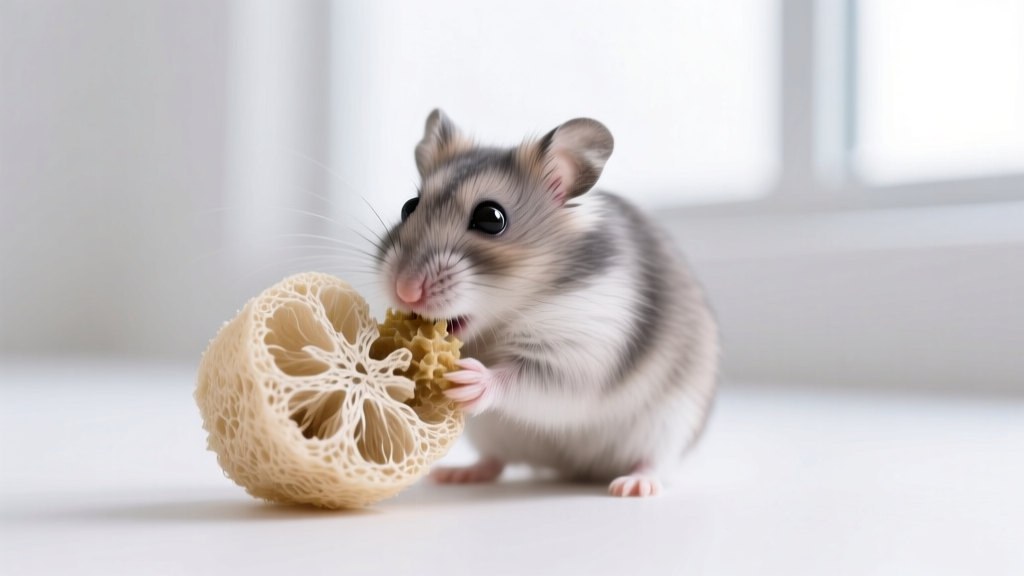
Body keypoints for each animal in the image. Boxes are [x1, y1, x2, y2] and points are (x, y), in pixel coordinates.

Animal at [378, 109, 719, 497]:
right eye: (409, 207)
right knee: (495, 461)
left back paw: (632, 485)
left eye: (491, 218)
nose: (404, 290)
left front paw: (471, 380)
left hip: (669, 424)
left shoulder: (580, 346)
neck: (507, 317)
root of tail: (573, 469)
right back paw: (456, 474)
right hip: (491, 433)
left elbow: (526, 377)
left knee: (651, 461)